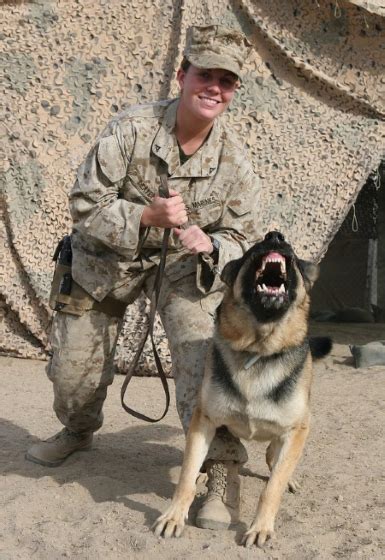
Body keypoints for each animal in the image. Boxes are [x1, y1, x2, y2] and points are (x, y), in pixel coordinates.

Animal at [152, 231, 330, 548]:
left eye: (294, 256)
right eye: (250, 253)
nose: (275, 236)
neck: (258, 348)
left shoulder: (296, 429)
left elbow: (271, 488)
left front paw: (261, 527)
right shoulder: (203, 422)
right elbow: (185, 477)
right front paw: (173, 516)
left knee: (274, 459)